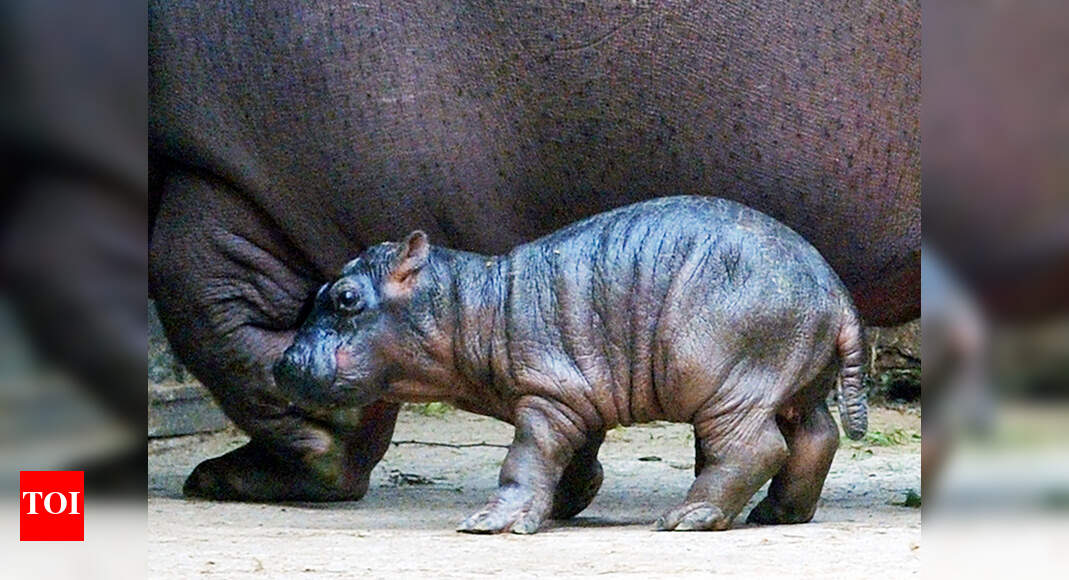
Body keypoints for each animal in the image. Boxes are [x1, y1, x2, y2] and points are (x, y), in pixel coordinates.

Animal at [273, 196, 866, 533]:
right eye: (318, 293)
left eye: (346, 298)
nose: (282, 364)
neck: (469, 304)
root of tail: (837, 293)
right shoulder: (576, 398)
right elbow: (574, 460)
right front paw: (561, 505)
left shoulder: (547, 397)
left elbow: (526, 457)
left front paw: (489, 523)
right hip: (794, 380)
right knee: (816, 437)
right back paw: (778, 514)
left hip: (730, 384)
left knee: (755, 448)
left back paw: (684, 519)